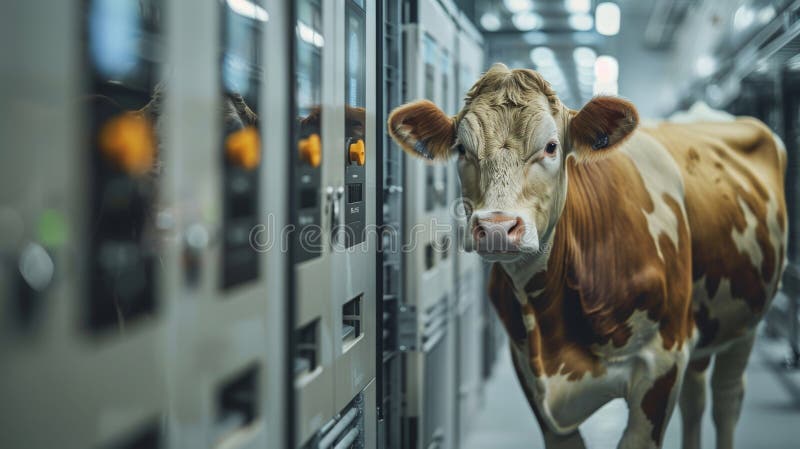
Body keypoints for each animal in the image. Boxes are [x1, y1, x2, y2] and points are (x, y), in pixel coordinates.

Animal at [387, 63, 788, 449]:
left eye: (551, 147)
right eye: (461, 150)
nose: (497, 227)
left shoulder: (663, 361)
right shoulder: (529, 372)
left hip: (745, 321)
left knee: (726, 399)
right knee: (696, 397)